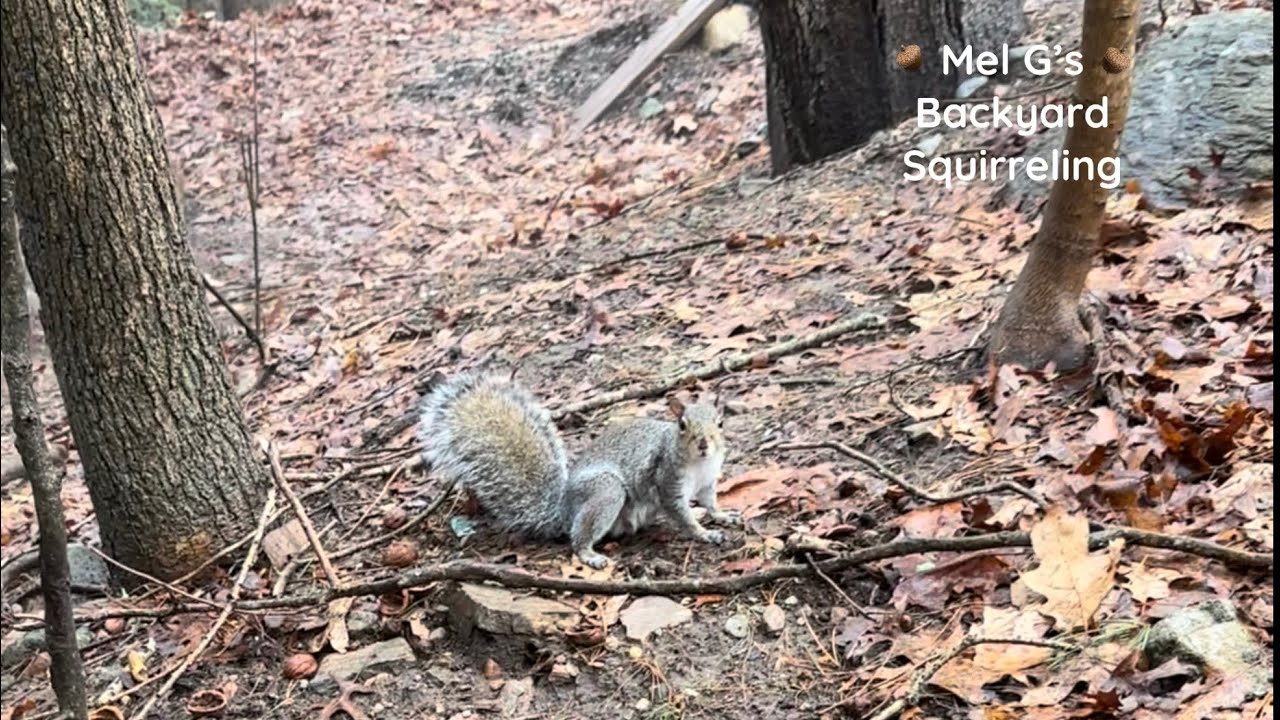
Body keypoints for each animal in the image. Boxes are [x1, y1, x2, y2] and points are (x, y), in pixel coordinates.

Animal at [417, 373, 737, 568]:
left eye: (721, 423)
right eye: (682, 426)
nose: (704, 444)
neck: (699, 464)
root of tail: (563, 509)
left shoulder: (708, 482)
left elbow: (710, 503)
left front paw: (723, 516)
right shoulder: (667, 482)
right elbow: (682, 515)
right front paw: (704, 533)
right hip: (606, 492)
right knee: (578, 538)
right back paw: (590, 555)